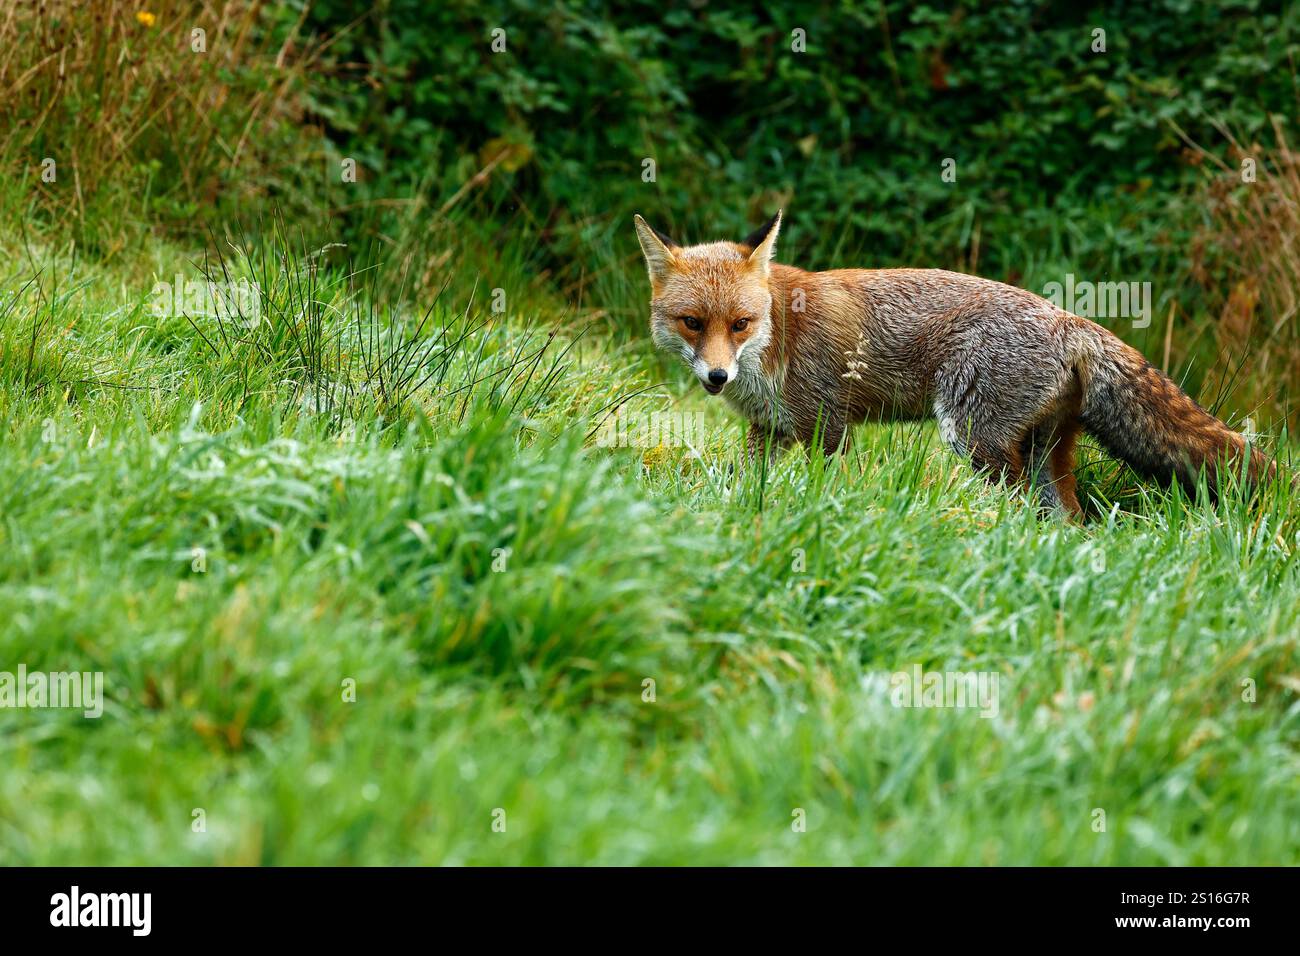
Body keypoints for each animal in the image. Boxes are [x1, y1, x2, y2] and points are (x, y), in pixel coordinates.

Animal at [633, 209, 1275, 518]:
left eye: (739, 324)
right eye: (694, 323)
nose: (717, 377)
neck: (777, 337)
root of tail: (1072, 319)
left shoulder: (828, 427)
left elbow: (825, 484)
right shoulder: (768, 431)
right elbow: (746, 482)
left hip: (973, 438)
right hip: (1043, 456)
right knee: (1071, 521)